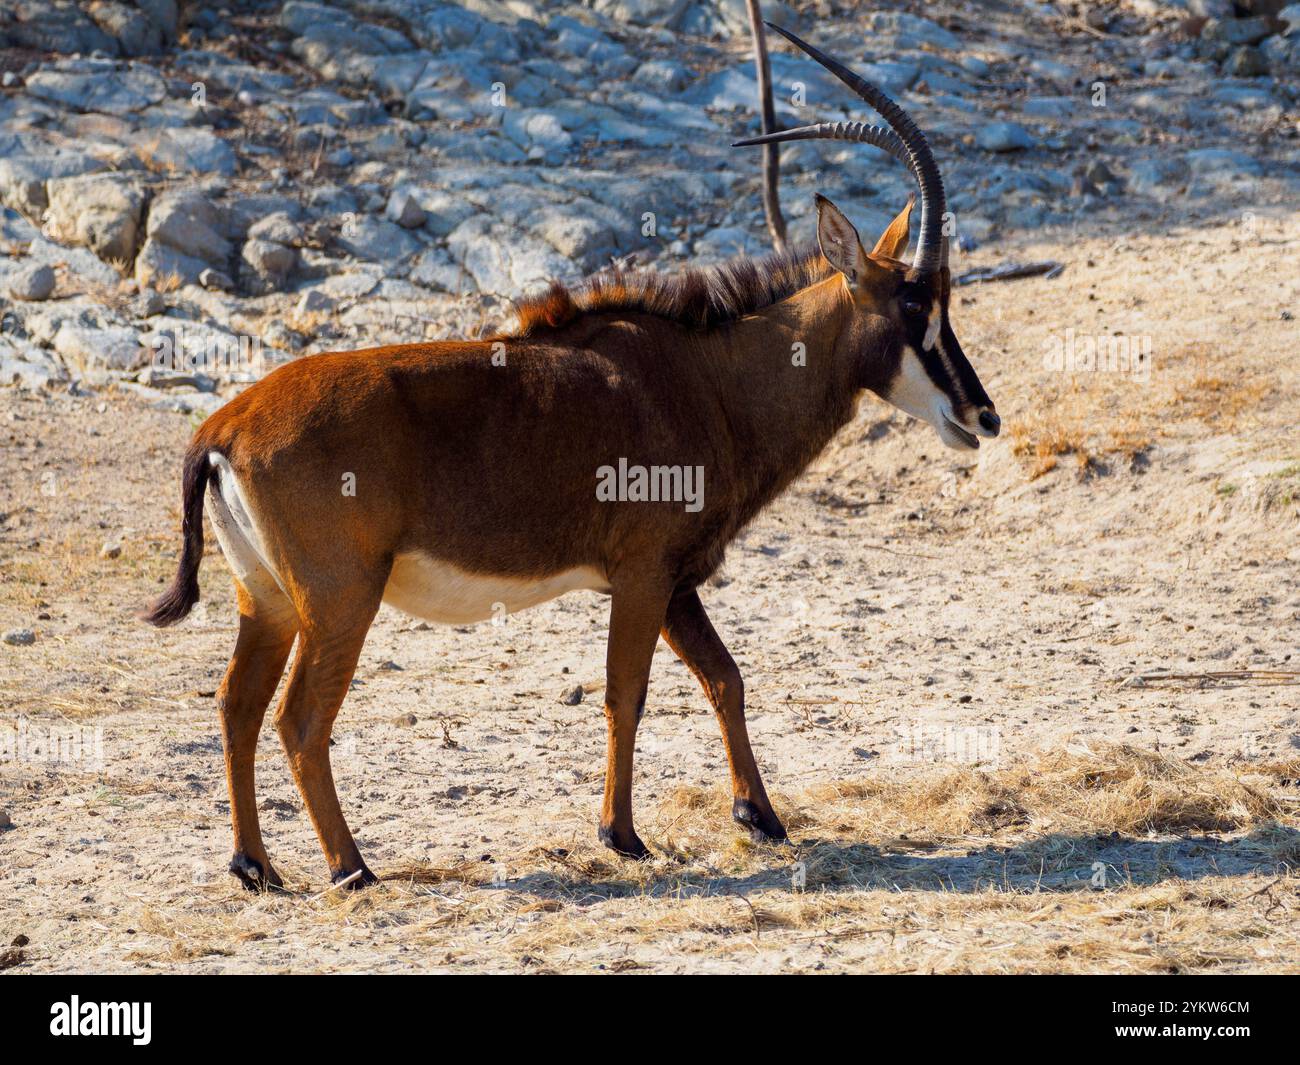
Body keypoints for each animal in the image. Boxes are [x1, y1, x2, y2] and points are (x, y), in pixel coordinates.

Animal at [144, 24, 998, 889]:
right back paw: (351, 867)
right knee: (300, 717)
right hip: (340, 599)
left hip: (267, 600)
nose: (981, 415)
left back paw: (254, 864)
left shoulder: (676, 582)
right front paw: (622, 833)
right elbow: (630, 692)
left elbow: (726, 677)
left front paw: (759, 815)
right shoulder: (645, 573)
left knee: (236, 705)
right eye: (915, 305)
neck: (709, 376)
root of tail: (225, 426)